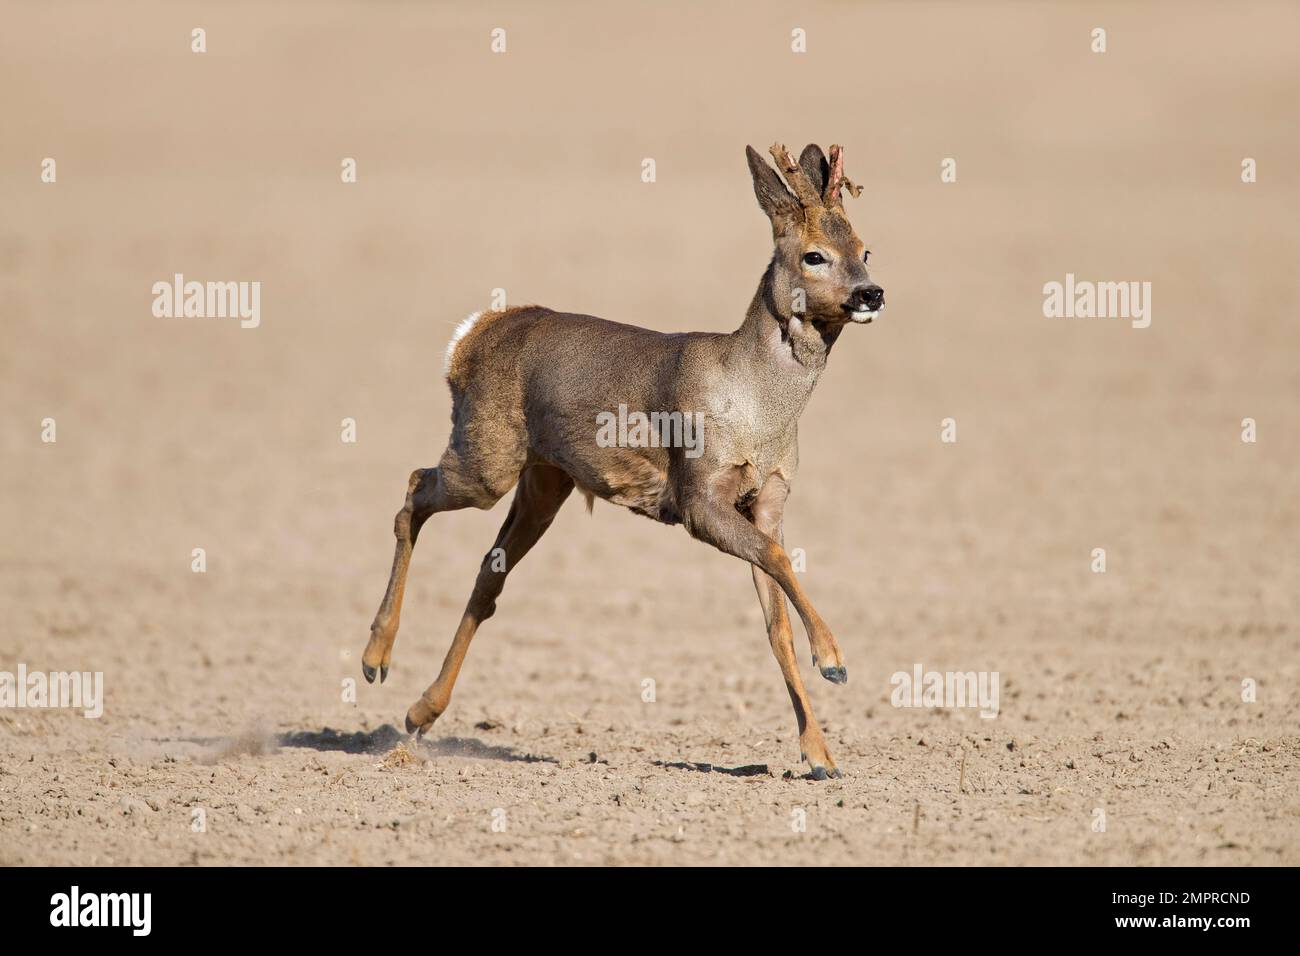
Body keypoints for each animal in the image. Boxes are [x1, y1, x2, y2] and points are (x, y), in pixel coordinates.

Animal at [361, 143, 884, 779]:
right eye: (814, 255)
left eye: (865, 249)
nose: (872, 293)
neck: (756, 403)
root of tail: (470, 337)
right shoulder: (697, 497)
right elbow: (779, 561)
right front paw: (834, 659)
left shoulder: (768, 500)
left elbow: (775, 620)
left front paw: (819, 753)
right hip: (488, 459)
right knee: (414, 488)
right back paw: (375, 659)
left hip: (545, 481)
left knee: (488, 572)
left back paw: (419, 710)